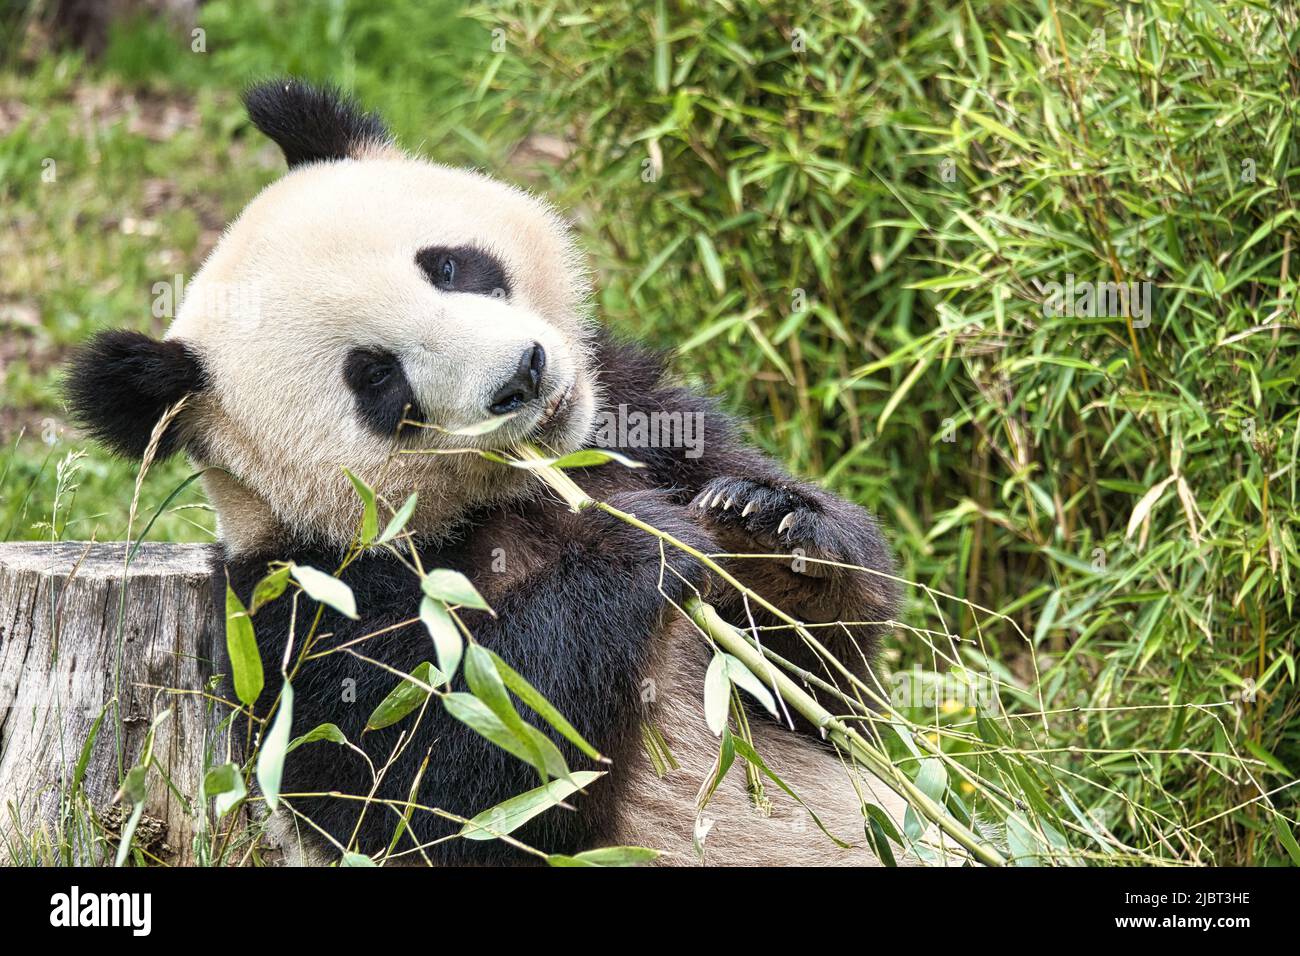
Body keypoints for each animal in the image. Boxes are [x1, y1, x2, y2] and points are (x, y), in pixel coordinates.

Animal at [65, 79, 913, 866]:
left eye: (448, 266)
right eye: (377, 378)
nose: (523, 376)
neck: (518, 492)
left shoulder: (643, 424)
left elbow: (823, 691)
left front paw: (769, 530)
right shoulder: (299, 605)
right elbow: (440, 777)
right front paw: (640, 548)